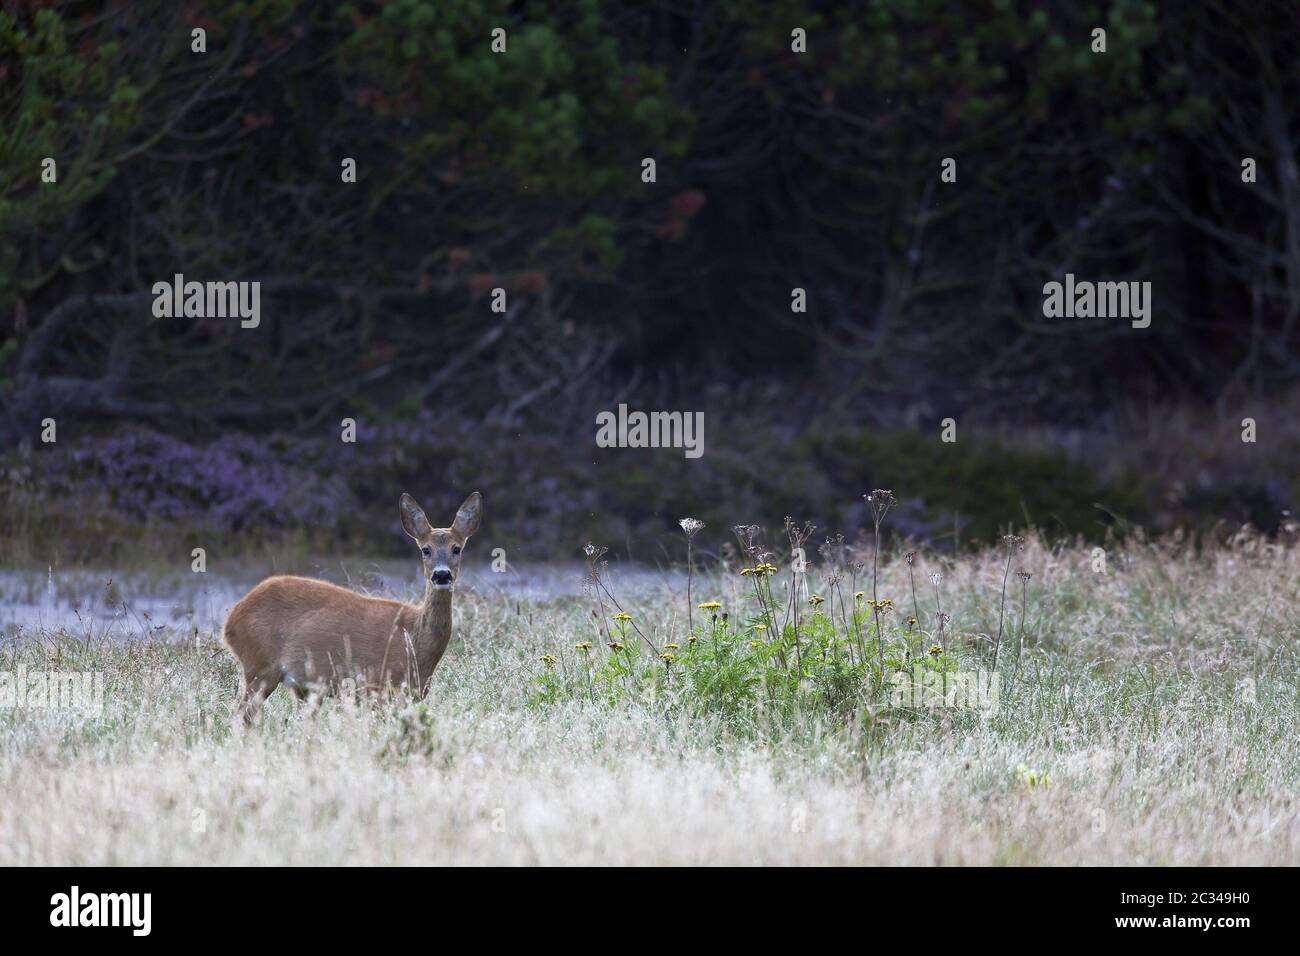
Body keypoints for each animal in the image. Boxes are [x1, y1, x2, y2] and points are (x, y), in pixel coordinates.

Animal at [222, 491, 481, 723]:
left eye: (457, 548)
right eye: (425, 549)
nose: (441, 574)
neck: (414, 643)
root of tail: (230, 620)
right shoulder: (376, 684)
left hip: (300, 685)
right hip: (260, 665)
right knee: (240, 717)